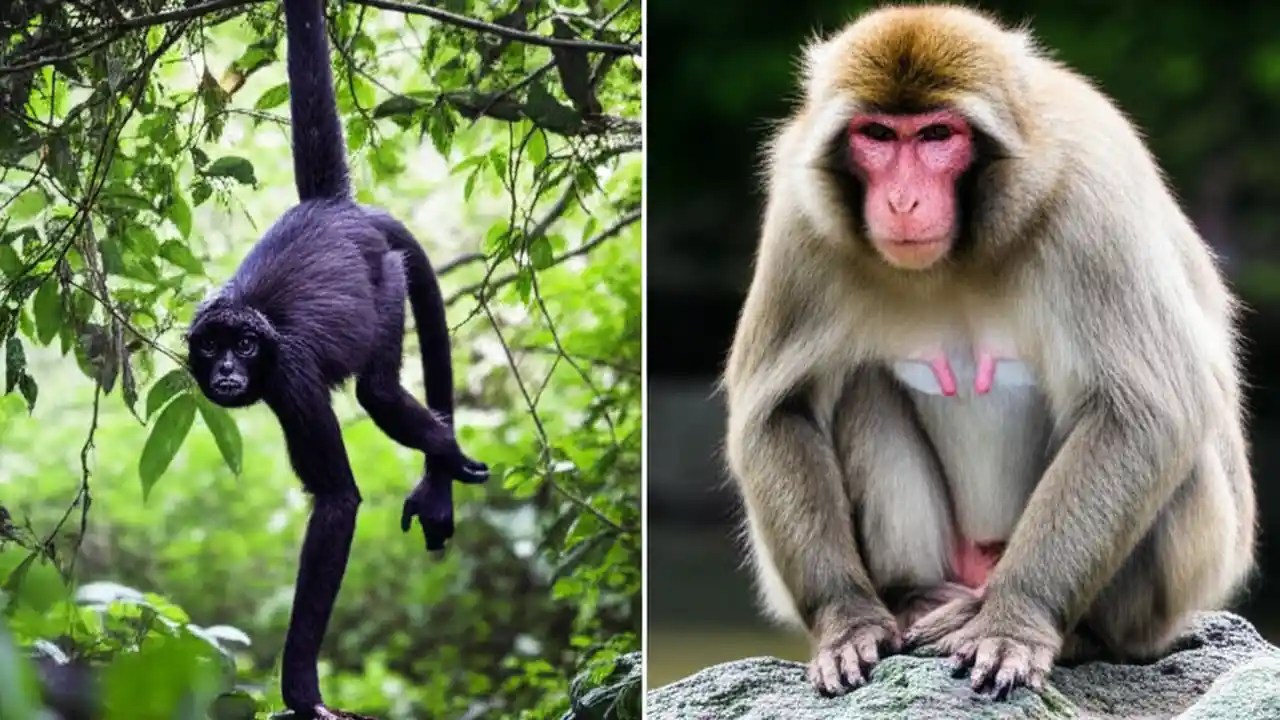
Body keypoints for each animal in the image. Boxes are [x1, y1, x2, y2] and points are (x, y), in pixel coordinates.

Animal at [184, 0, 488, 717]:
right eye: (211, 347)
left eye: (244, 347)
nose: (228, 372)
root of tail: (336, 208)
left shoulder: (290, 379)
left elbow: (337, 500)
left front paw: (300, 690)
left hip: (386, 279)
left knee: (379, 388)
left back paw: (443, 462)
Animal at [722, 4, 1255, 700]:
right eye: (877, 135)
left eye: (936, 135)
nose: (902, 200)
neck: (965, 248)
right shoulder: (800, 214)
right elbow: (780, 411)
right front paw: (846, 619)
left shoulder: (1091, 201)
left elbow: (1149, 412)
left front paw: (1015, 621)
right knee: (861, 386)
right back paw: (916, 597)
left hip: (1172, 587)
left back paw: (1069, 632)